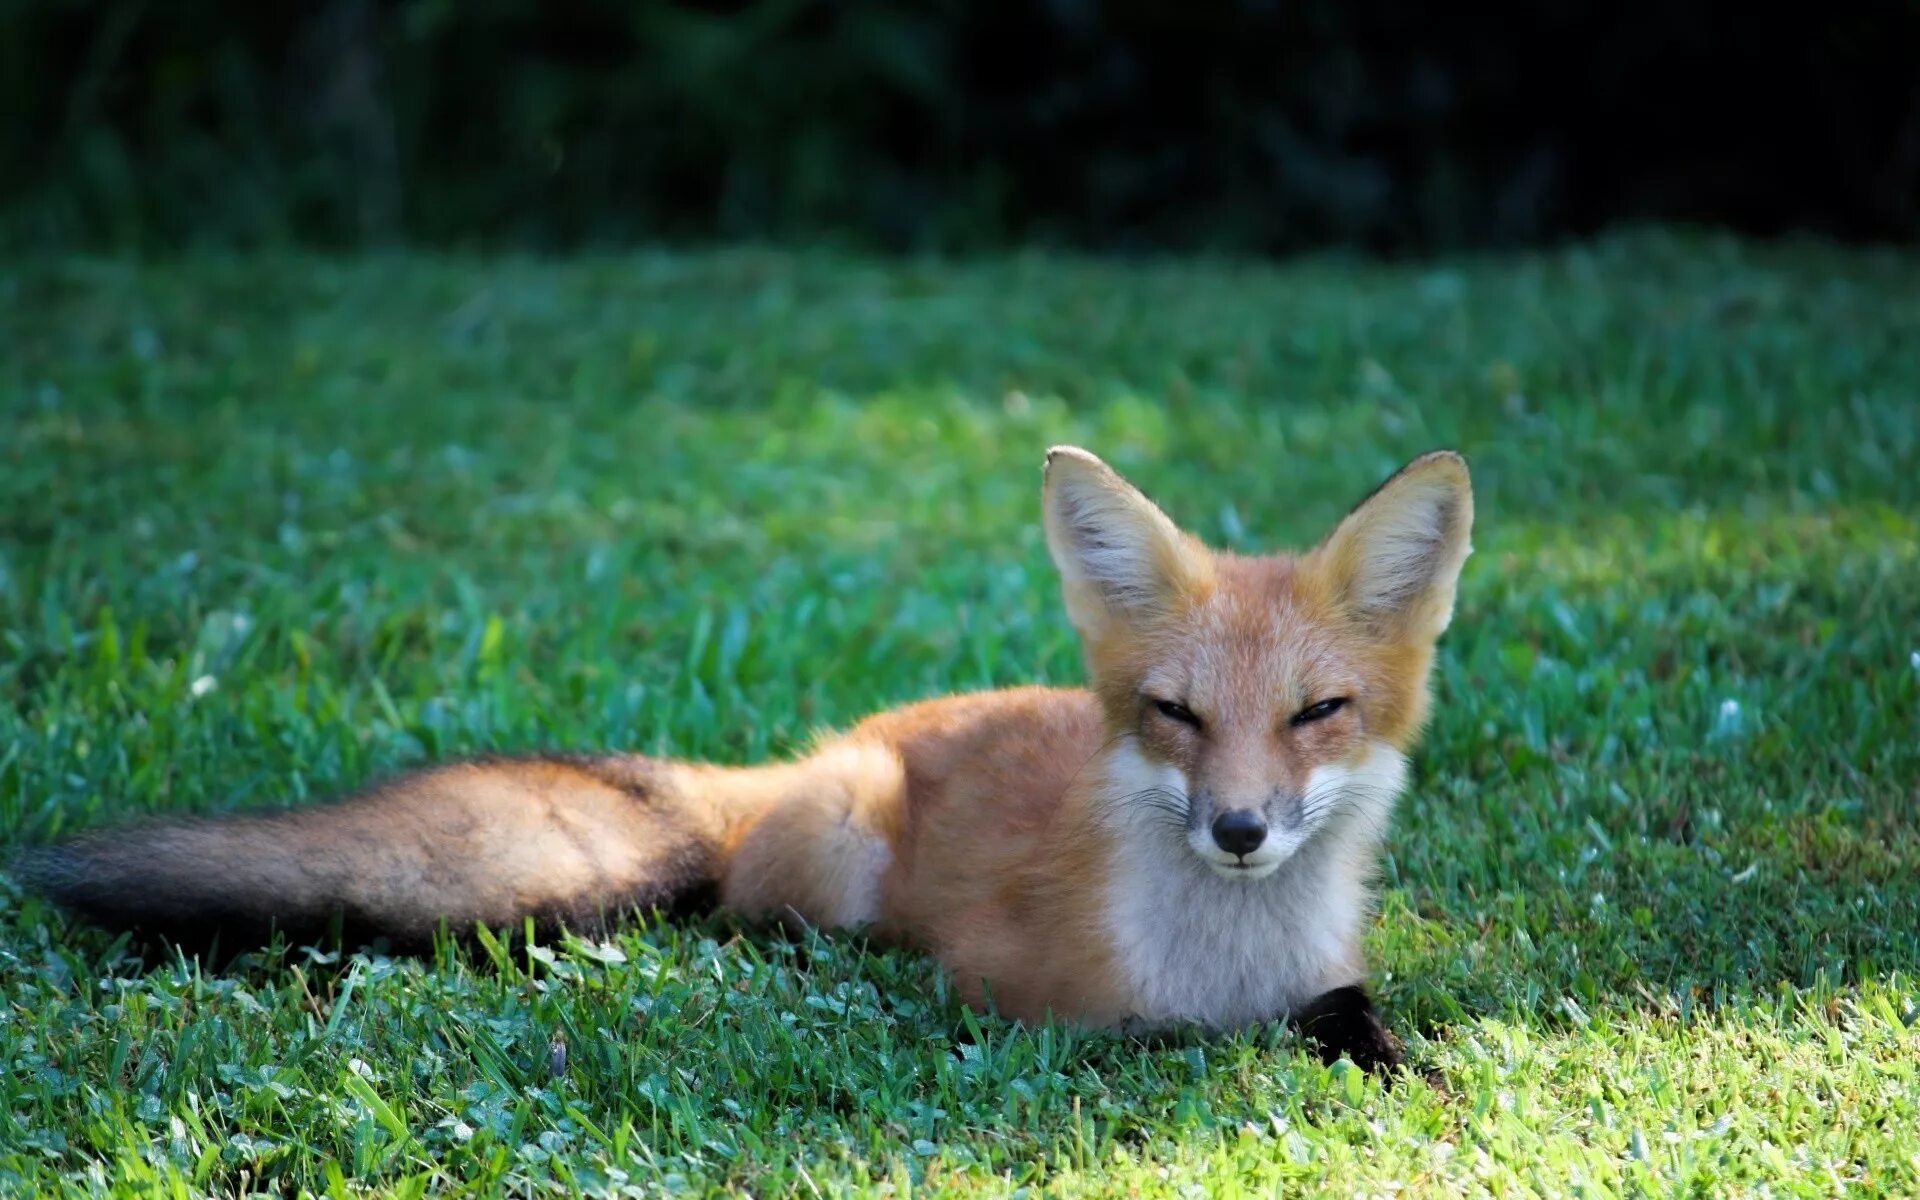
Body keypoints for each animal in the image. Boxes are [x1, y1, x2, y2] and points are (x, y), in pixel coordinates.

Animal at [17, 446, 1472, 1073]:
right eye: (1176, 714)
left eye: (1317, 712)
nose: (1239, 831)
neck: (1227, 958)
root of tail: (815, 753)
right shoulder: (1012, 995)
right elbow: (1154, 1040)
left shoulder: (1327, 972)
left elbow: (1356, 1022)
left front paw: (1400, 1065)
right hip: (835, 865)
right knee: (743, 912)